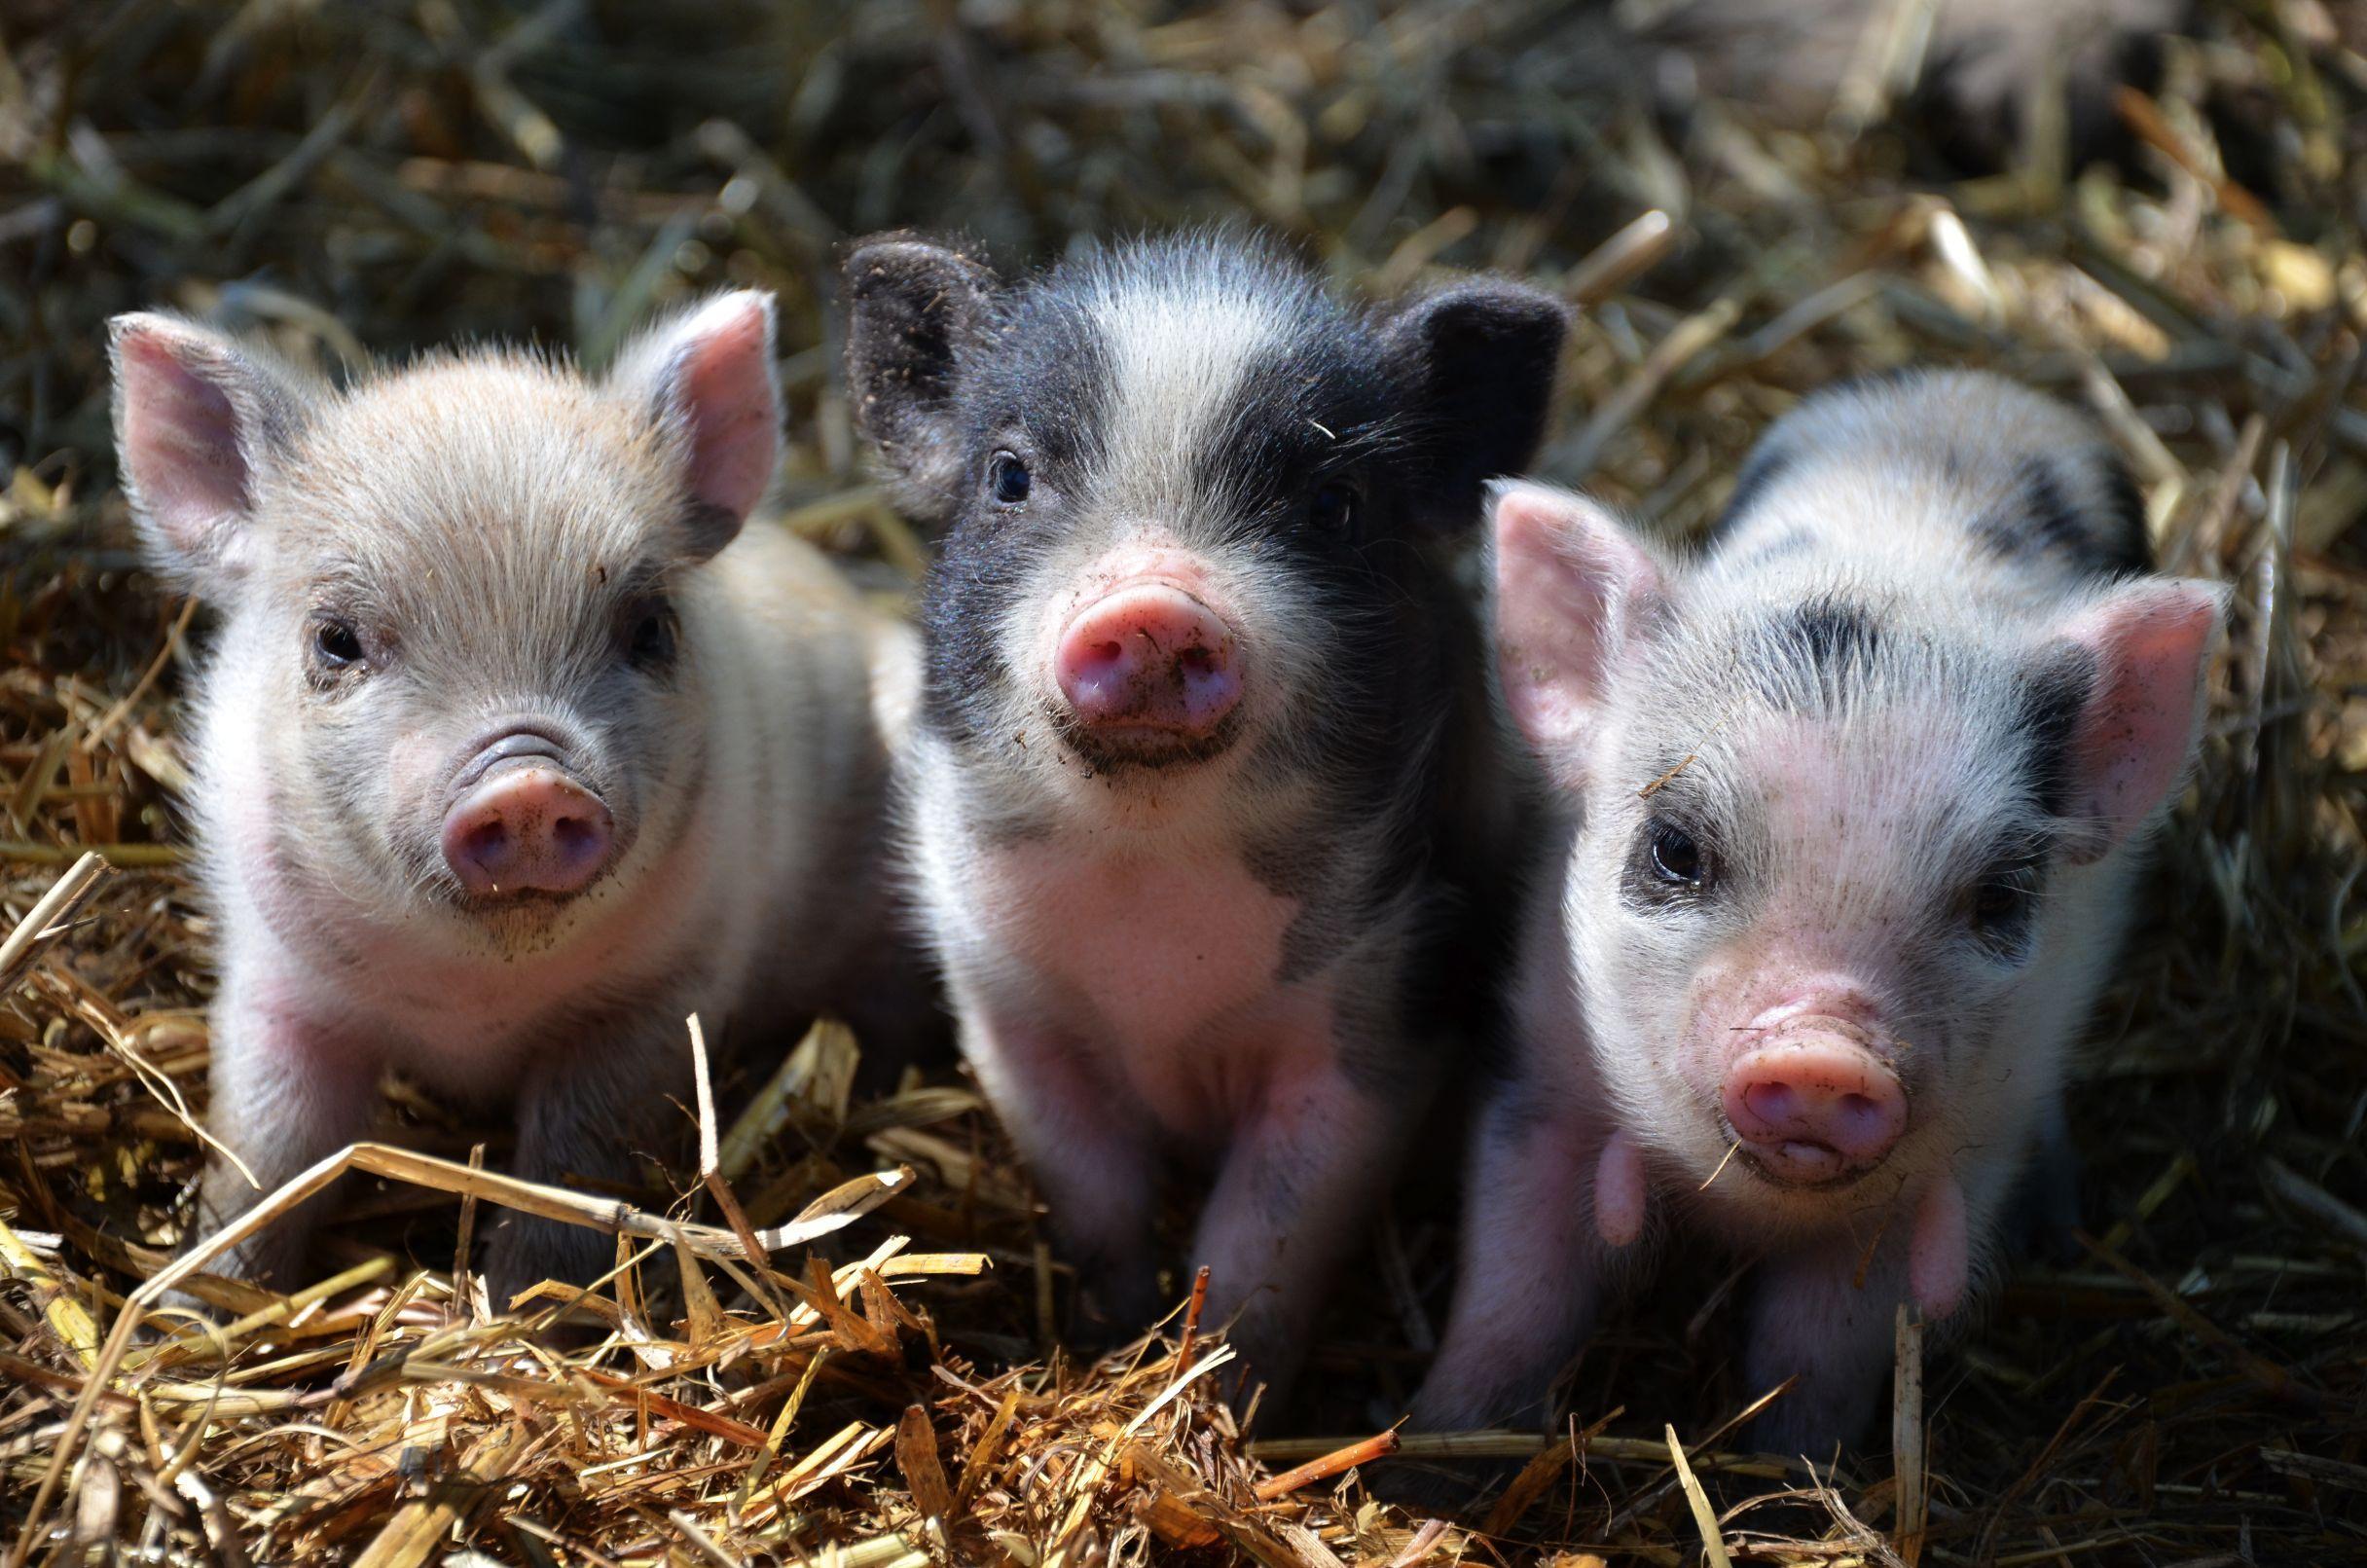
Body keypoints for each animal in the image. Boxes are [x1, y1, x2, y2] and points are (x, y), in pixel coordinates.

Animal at [109, 291, 921, 1304]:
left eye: (650, 628)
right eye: (336, 640)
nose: (528, 781)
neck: (476, 1002)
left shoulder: (664, 990)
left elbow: (577, 1162)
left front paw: (529, 1304)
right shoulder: (273, 978)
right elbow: (266, 1147)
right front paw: (190, 1300)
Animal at [843, 232, 1568, 1401]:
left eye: (1334, 504)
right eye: (1010, 475)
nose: (1151, 606)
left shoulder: (1375, 1019)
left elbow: (1263, 1234)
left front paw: (1218, 1391)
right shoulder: (1007, 1011)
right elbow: (1094, 1197)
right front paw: (1110, 1332)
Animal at [1413, 369, 2222, 1454]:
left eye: (2000, 895)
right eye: (1674, 850)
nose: (1820, 1053)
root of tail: (1973, 385)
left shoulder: (1919, 1194)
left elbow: (1821, 1346)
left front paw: (1794, 1470)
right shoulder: (1541, 1077)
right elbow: (1516, 1283)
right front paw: (1443, 1446)